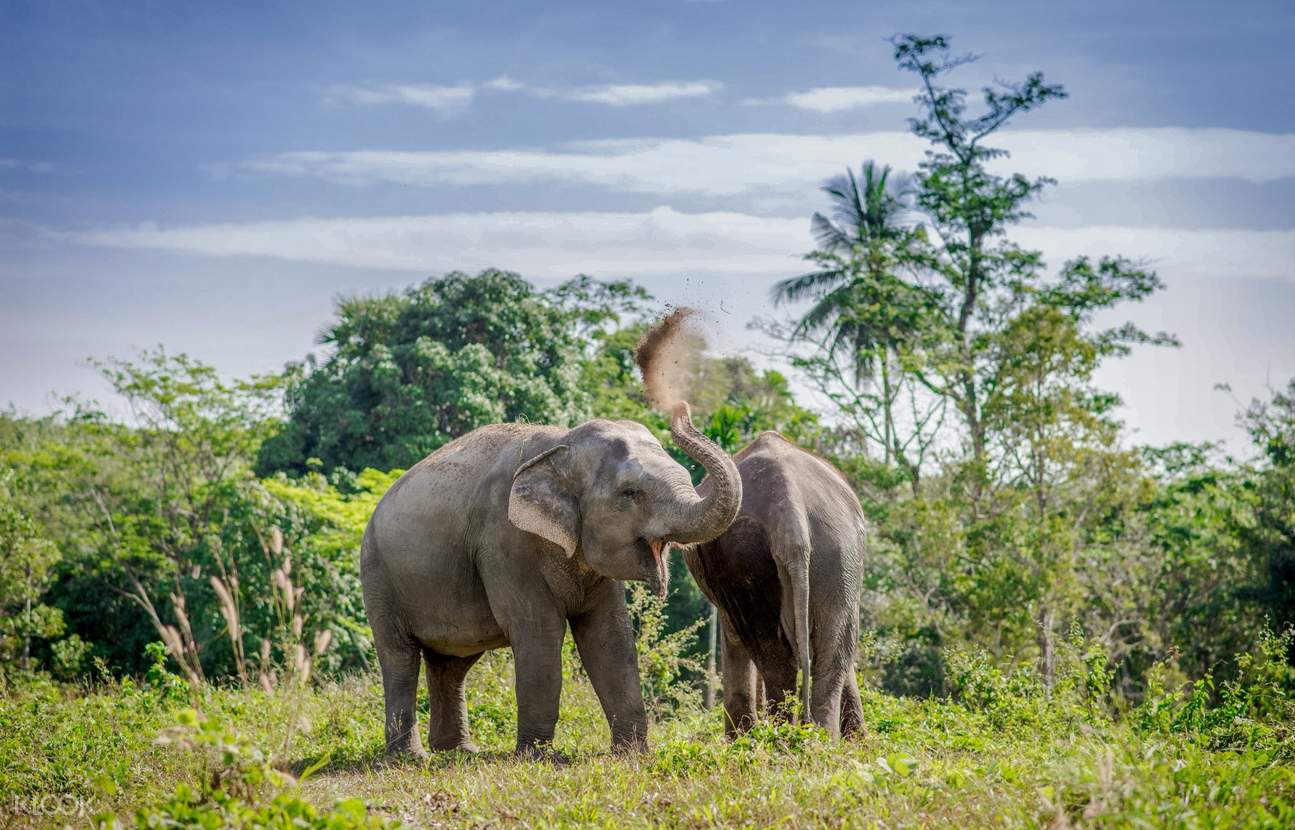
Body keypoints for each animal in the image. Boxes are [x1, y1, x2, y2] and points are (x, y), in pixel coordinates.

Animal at [360, 401, 740, 759]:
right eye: (630, 493)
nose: (681, 409)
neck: (561, 445)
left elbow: (610, 637)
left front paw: (632, 753)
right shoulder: (505, 543)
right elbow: (539, 631)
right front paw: (537, 757)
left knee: (452, 664)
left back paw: (459, 751)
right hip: (379, 578)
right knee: (400, 660)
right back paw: (410, 757)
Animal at [683, 432, 866, 739]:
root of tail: (790, 514)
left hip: (748, 557)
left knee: (773, 656)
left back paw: (779, 739)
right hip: (839, 554)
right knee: (829, 655)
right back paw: (817, 741)